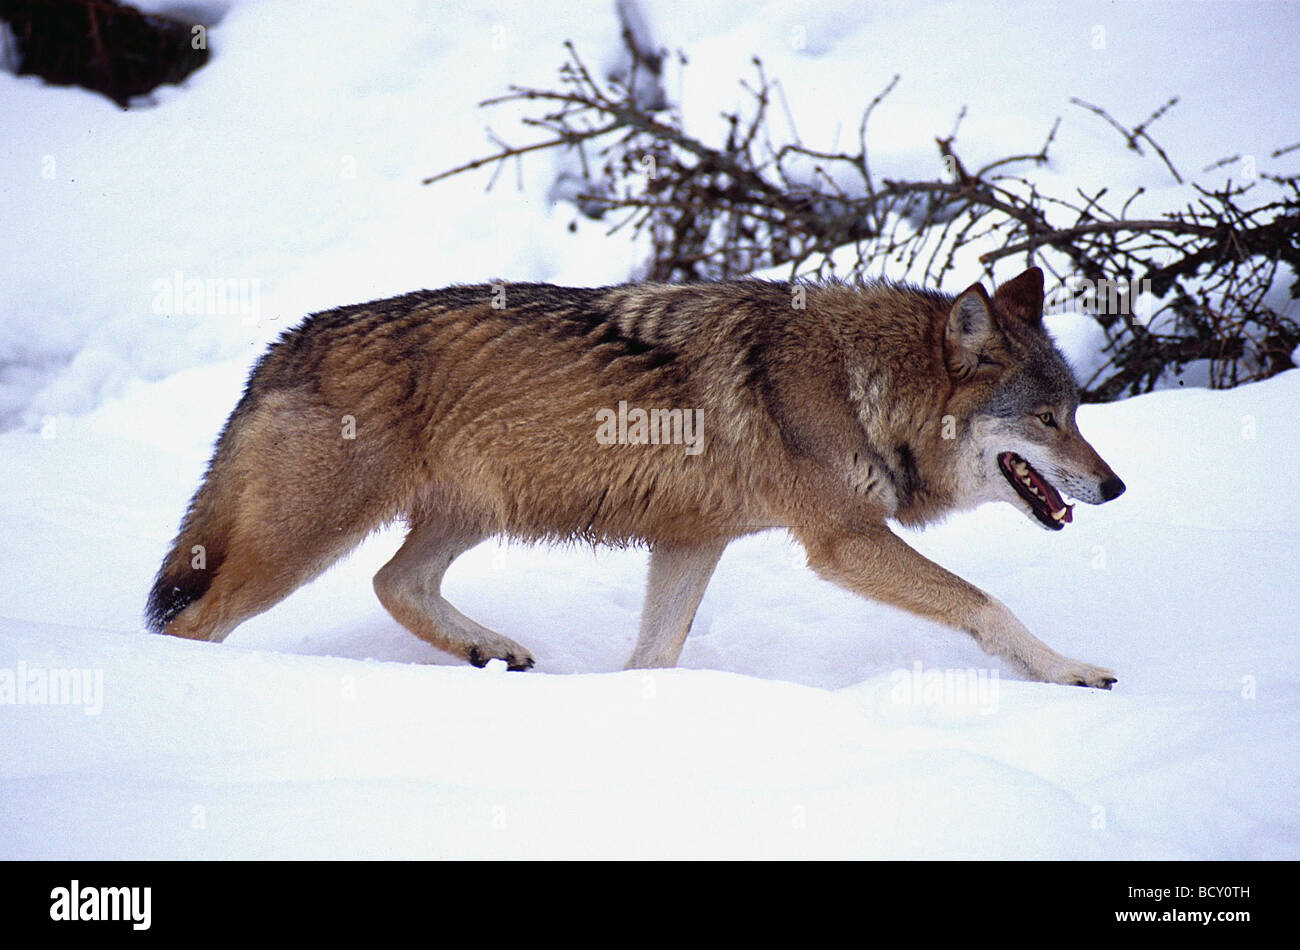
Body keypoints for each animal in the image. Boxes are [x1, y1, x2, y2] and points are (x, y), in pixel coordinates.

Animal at [146, 266, 1126, 687]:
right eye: (1048, 419)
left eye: (1079, 410)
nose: (1115, 488)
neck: (860, 384)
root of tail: (286, 341)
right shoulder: (843, 542)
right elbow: (986, 604)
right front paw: (1071, 670)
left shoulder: (692, 542)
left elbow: (655, 655)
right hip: (299, 546)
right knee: (192, 626)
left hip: (468, 514)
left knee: (395, 583)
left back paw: (489, 650)